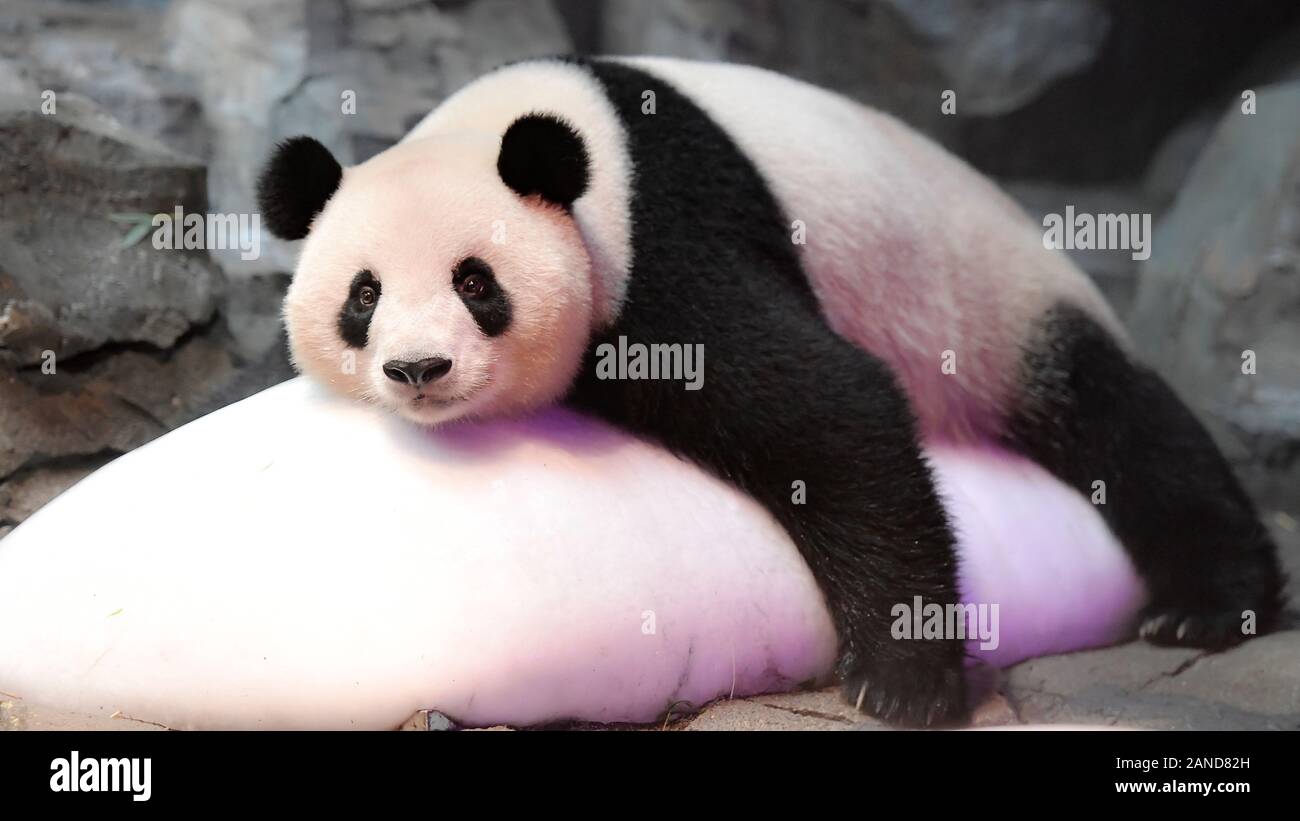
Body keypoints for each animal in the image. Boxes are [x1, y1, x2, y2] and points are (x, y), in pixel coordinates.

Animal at [256, 56, 1282, 727]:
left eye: (477, 282)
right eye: (364, 295)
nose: (418, 370)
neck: (506, 127)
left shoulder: (659, 236)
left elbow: (829, 408)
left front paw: (902, 676)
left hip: (1010, 312)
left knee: (1126, 425)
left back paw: (1211, 603)